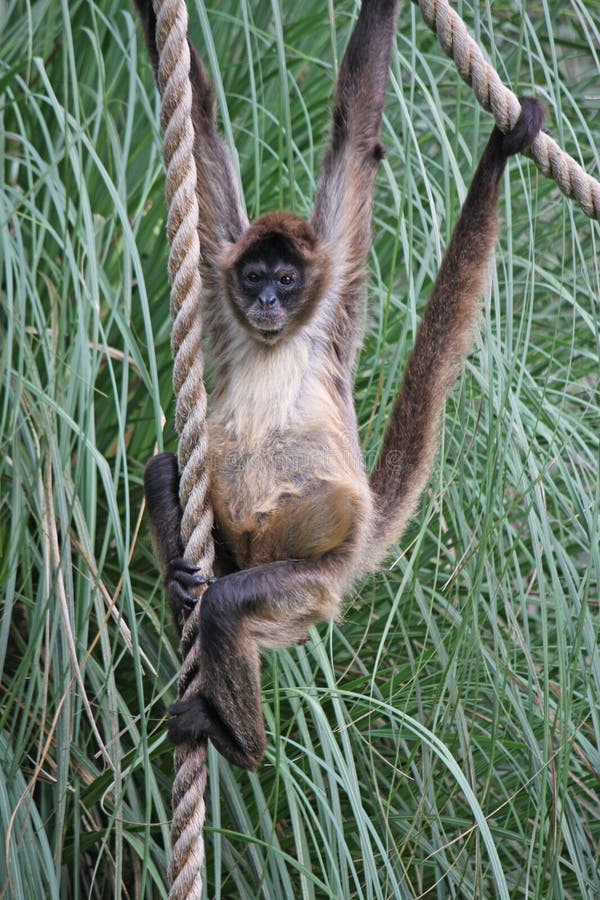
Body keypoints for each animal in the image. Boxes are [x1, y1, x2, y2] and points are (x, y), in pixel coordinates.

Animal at [135, 0, 545, 770]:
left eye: (285, 279)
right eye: (253, 277)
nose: (267, 301)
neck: (277, 336)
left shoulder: (331, 297)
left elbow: (355, 133)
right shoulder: (223, 274)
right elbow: (198, 125)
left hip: (308, 585)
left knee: (232, 606)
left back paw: (238, 743)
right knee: (165, 473)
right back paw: (180, 584)